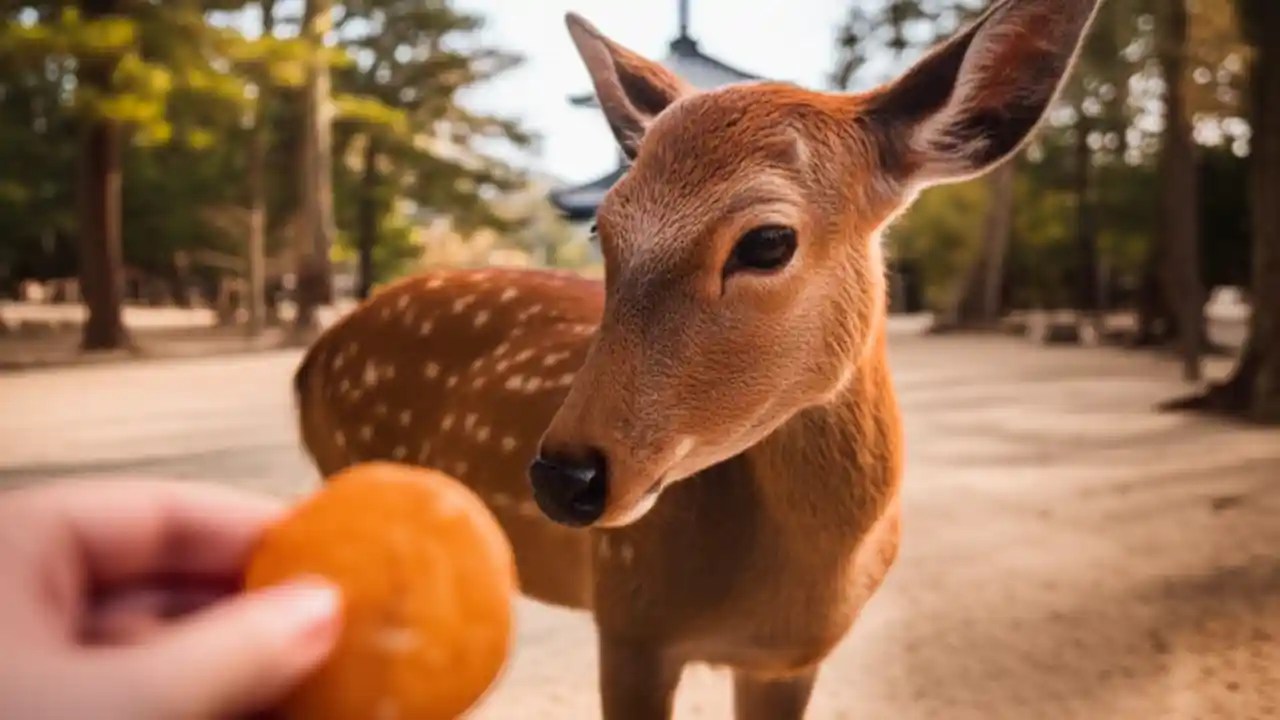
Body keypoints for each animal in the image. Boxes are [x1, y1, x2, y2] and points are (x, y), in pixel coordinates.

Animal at [292, 1, 1100, 717]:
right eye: (602, 226)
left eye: (768, 241)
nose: (563, 477)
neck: (790, 593)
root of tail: (314, 357)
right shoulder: (628, 621)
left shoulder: (790, 660)